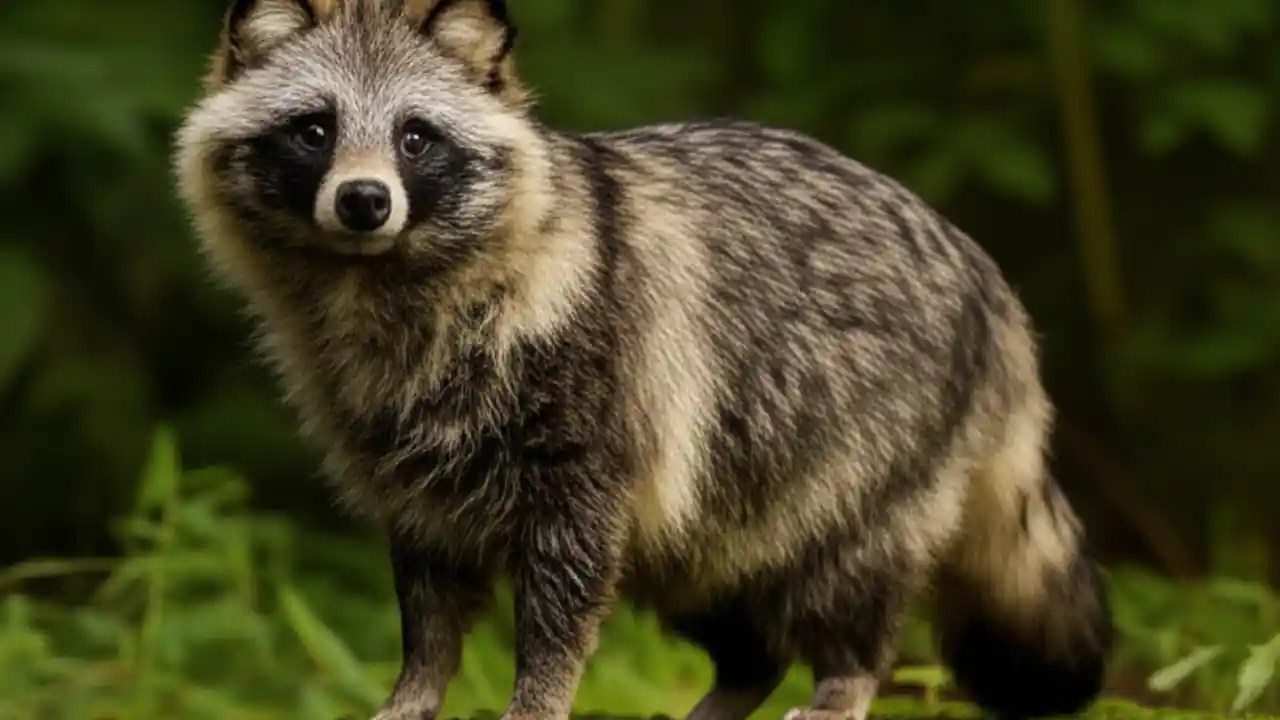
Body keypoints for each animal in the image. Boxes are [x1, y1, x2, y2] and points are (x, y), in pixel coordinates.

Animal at [175, 1, 1112, 719]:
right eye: (315, 129)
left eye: (415, 137)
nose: (365, 201)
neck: (380, 280)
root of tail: (990, 283)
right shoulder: (400, 462)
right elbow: (429, 605)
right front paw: (415, 692)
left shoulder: (593, 412)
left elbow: (562, 604)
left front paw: (536, 701)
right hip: (716, 509)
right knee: (732, 615)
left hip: (862, 447)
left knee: (851, 581)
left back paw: (845, 679)